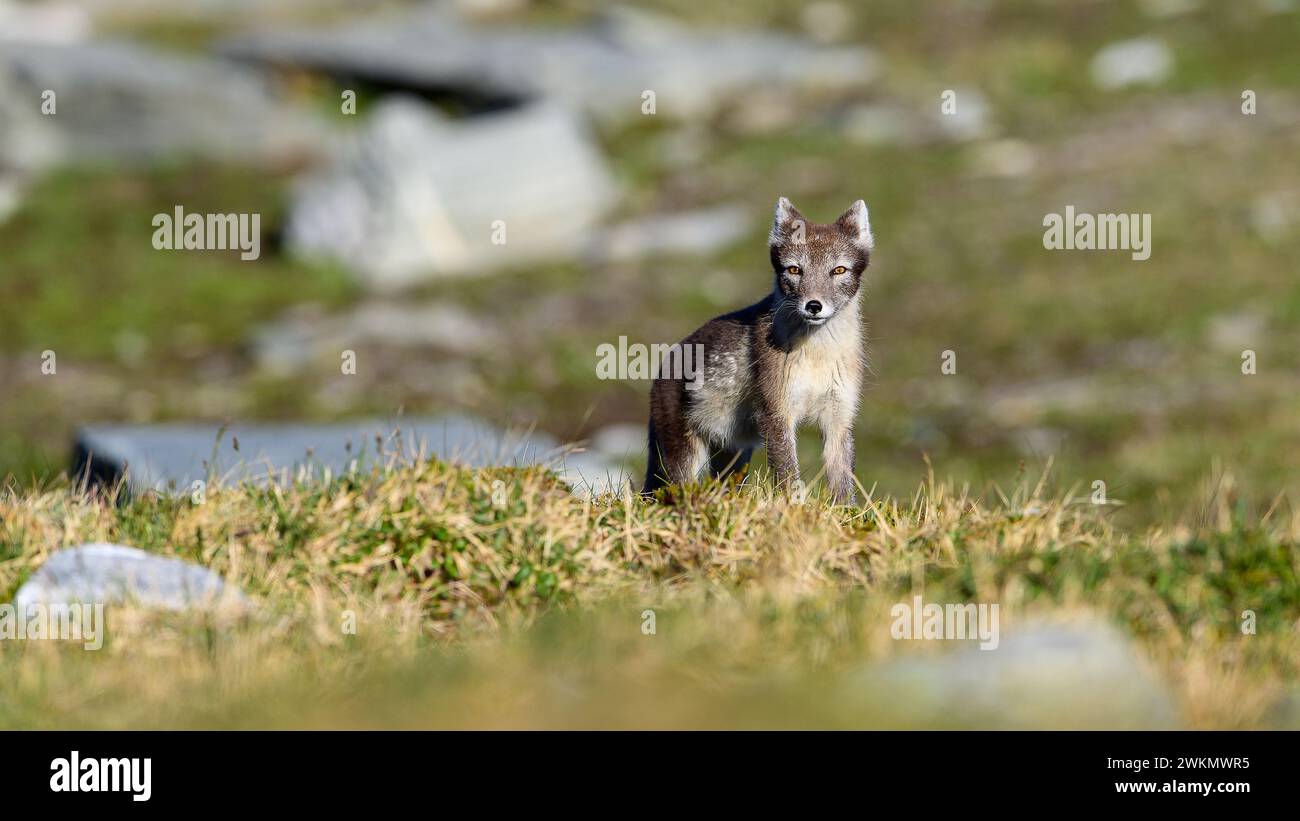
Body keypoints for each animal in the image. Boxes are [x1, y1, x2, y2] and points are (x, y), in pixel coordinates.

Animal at [643, 196, 871, 504]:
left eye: (839, 270)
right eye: (794, 270)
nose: (813, 306)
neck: (817, 357)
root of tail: (663, 366)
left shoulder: (840, 417)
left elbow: (844, 484)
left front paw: (847, 515)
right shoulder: (776, 413)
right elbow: (788, 474)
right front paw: (792, 508)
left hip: (735, 456)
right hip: (684, 457)